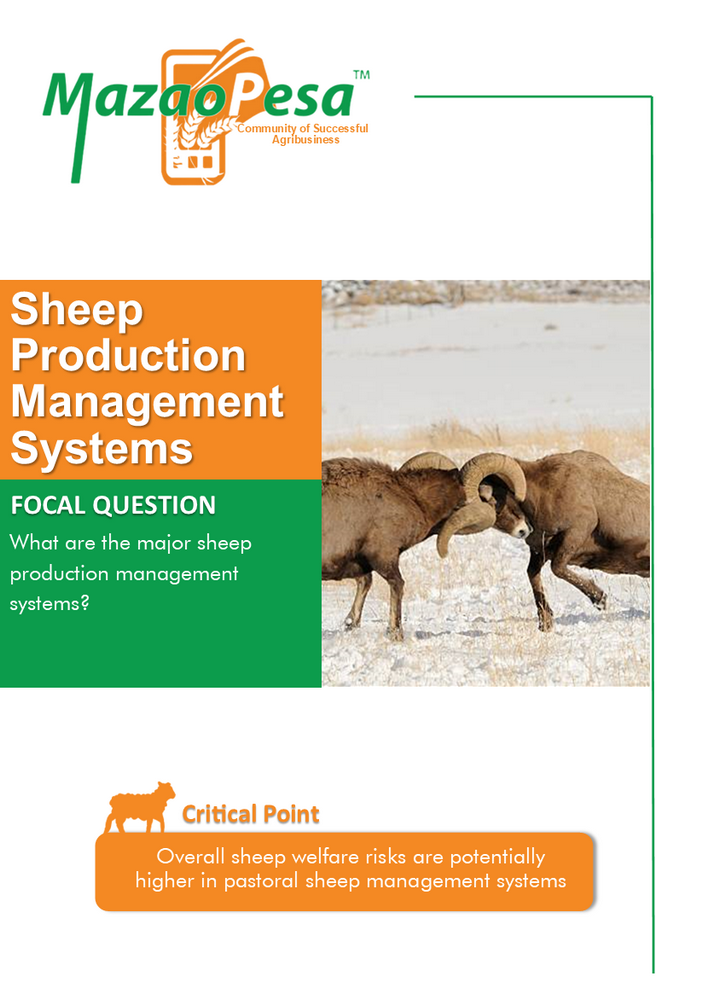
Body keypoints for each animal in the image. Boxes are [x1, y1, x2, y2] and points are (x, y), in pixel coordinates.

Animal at [322, 452, 528, 639]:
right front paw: (395, 634)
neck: (414, 500)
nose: (524, 529)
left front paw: (350, 625)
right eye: (496, 498)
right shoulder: (383, 556)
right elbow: (396, 585)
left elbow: (365, 583)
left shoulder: (361, 563)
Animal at [437, 449, 650, 631]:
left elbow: (558, 569)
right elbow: (533, 575)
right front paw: (545, 624)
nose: (521, 531)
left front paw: (600, 599)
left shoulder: (576, 531)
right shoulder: (541, 550)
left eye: (489, 498)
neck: (543, 494)